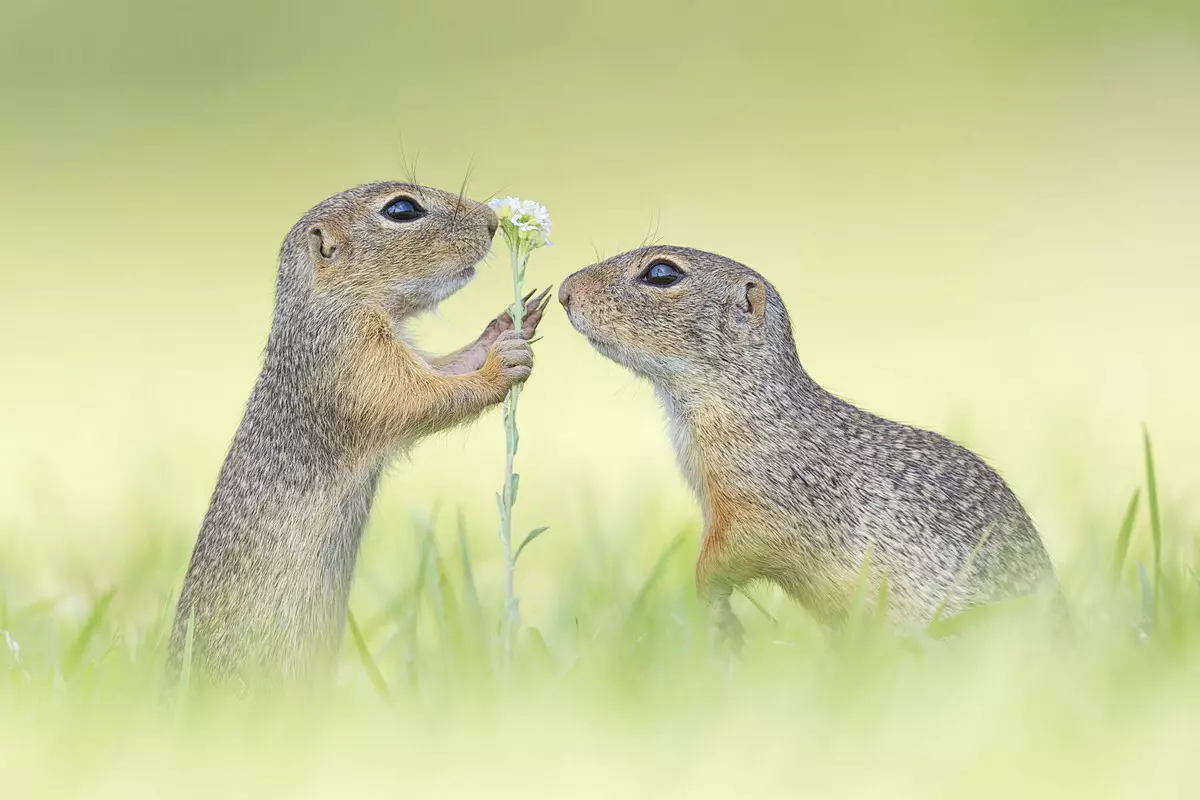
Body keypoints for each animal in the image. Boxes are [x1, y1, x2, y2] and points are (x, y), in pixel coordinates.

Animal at [166, 181, 549, 690]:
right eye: (402, 209)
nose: (491, 221)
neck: (329, 308)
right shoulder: (355, 361)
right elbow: (421, 396)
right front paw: (500, 364)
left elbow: (444, 369)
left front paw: (508, 325)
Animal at [559, 245, 1060, 652]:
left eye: (661, 273)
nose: (563, 291)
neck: (748, 399)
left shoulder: (762, 506)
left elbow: (725, 557)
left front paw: (717, 616)